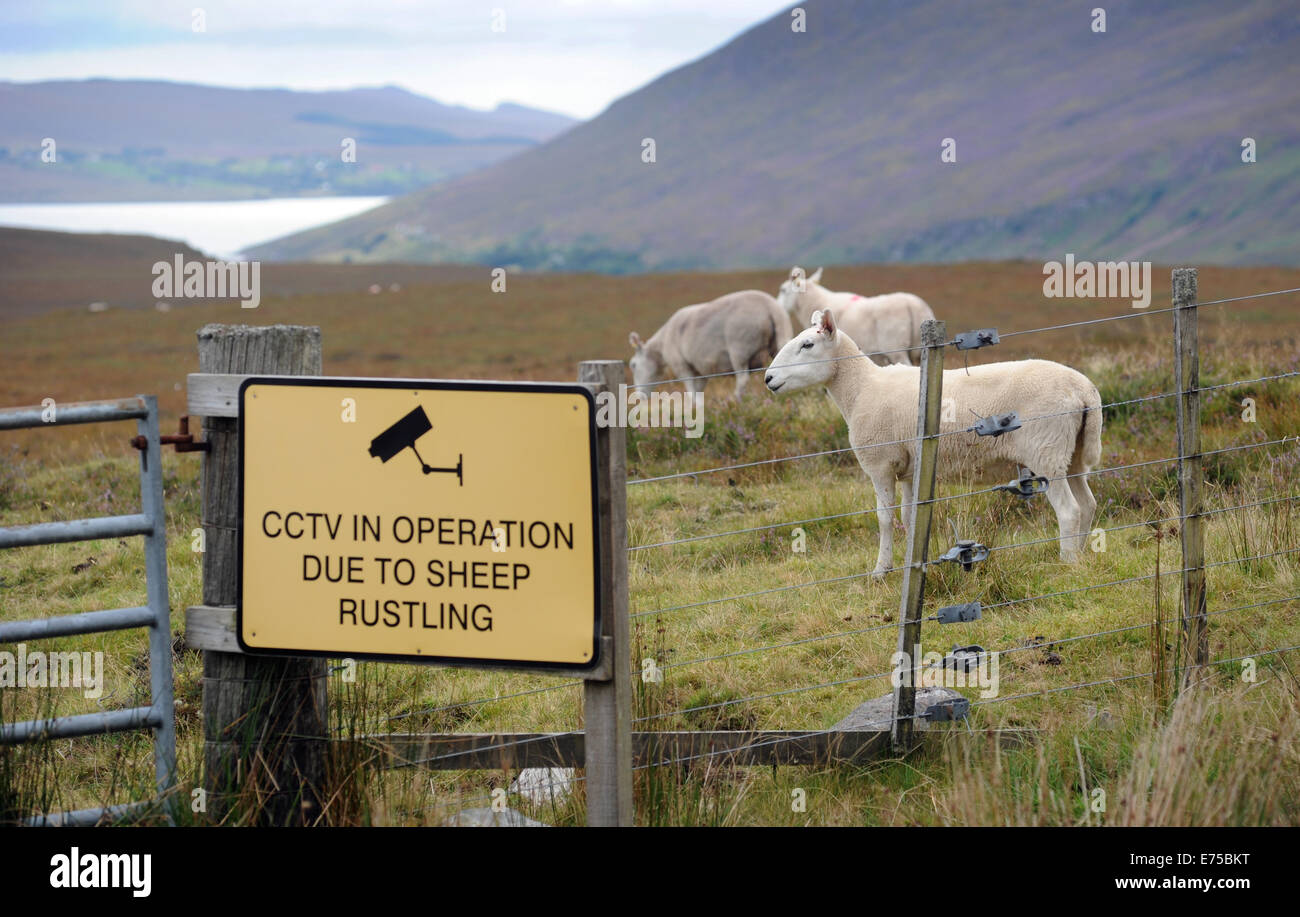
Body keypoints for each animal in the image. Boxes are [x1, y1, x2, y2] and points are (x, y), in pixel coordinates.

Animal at [629, 290, 793, 399]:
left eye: (633, 365)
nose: (639, 397)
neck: (662, 345)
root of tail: (771, 308)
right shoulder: (701, 370)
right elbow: (698, 394)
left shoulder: (681, 366)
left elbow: (691, 392)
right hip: (779, 342)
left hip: (739, 349)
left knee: (742, 379)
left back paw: (735, 400)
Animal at [764, 310, 1102, 576]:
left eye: (807, 344)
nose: (767, 379)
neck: (860, 388)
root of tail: (1084, 389)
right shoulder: (908, 469)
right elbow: (908, 518)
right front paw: (909, 565)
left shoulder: (880, 464)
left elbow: (884, 519)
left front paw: (880, 570)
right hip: (1072, 453)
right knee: (1087, 504)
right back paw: (1082, 553)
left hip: (1046, 451)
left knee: (1069, 510)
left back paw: (1066, 561)